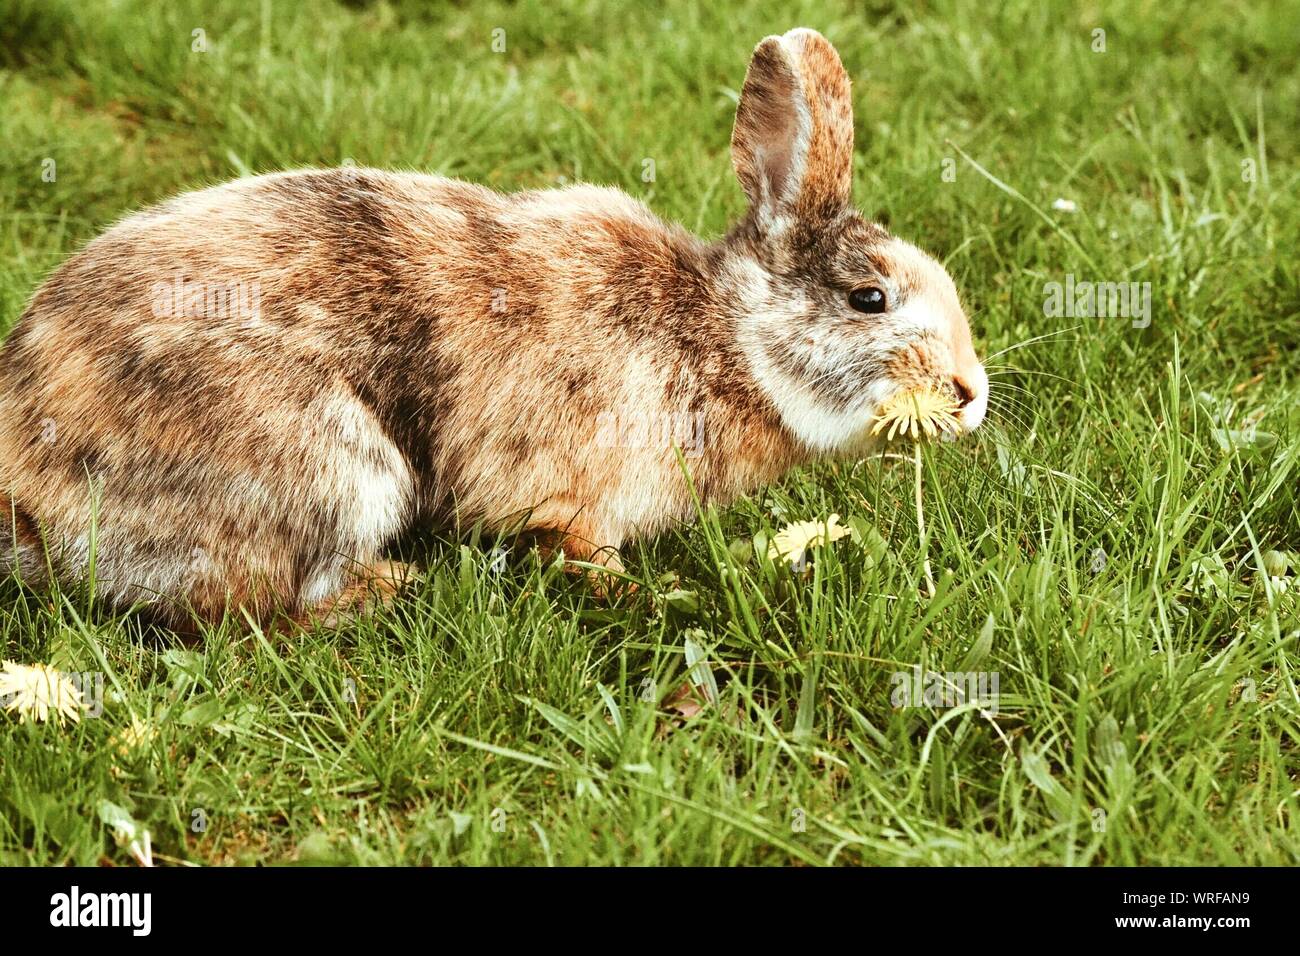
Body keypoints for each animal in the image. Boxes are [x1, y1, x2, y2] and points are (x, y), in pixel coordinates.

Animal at [0, 28, 987, 629]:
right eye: (870, 299)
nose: (971, 395)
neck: (726, 337)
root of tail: (27, 495)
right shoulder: (578, 497)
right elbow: (579, 549)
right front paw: (649, 592)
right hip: (338, 466)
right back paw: (388, 588)